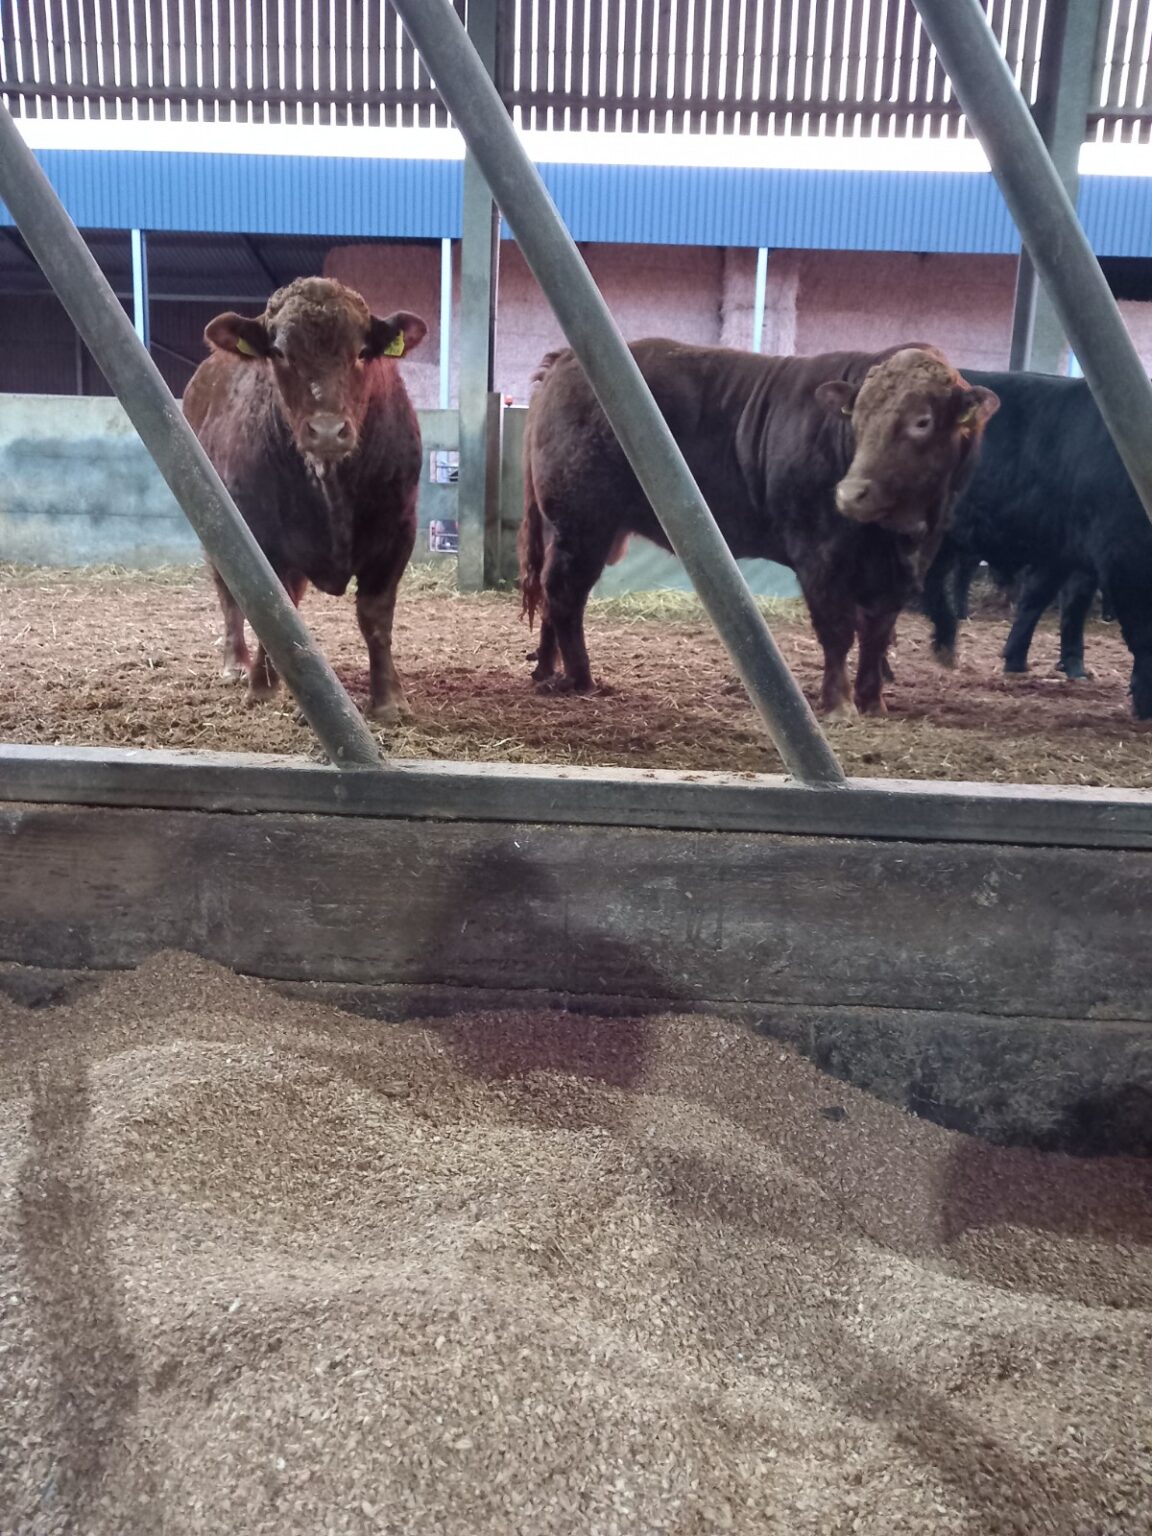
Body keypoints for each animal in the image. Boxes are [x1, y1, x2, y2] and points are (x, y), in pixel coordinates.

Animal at [183, 276, 427, 725]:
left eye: (362, 351)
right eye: (280, 352)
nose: (327, 430)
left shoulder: (398, 530)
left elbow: (376, 616)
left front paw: (388, 699)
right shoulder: (258, 535)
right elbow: (270, 604)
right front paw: (263, 685)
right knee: (228, 593)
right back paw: (237, 663)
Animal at [518, 340, 998, 717]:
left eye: (922, 421)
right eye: (857, 418)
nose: (850, 493)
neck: (896, 535)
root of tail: (565, 360)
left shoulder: (903, 568)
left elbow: (877, 633)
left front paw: (872, 700)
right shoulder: (819, 557)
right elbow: (838, 630)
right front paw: (838, 703)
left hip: (566, 528)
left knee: (551, 593)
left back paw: (546, 669)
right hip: (583, 523)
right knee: (565, 592)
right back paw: (580, 677)